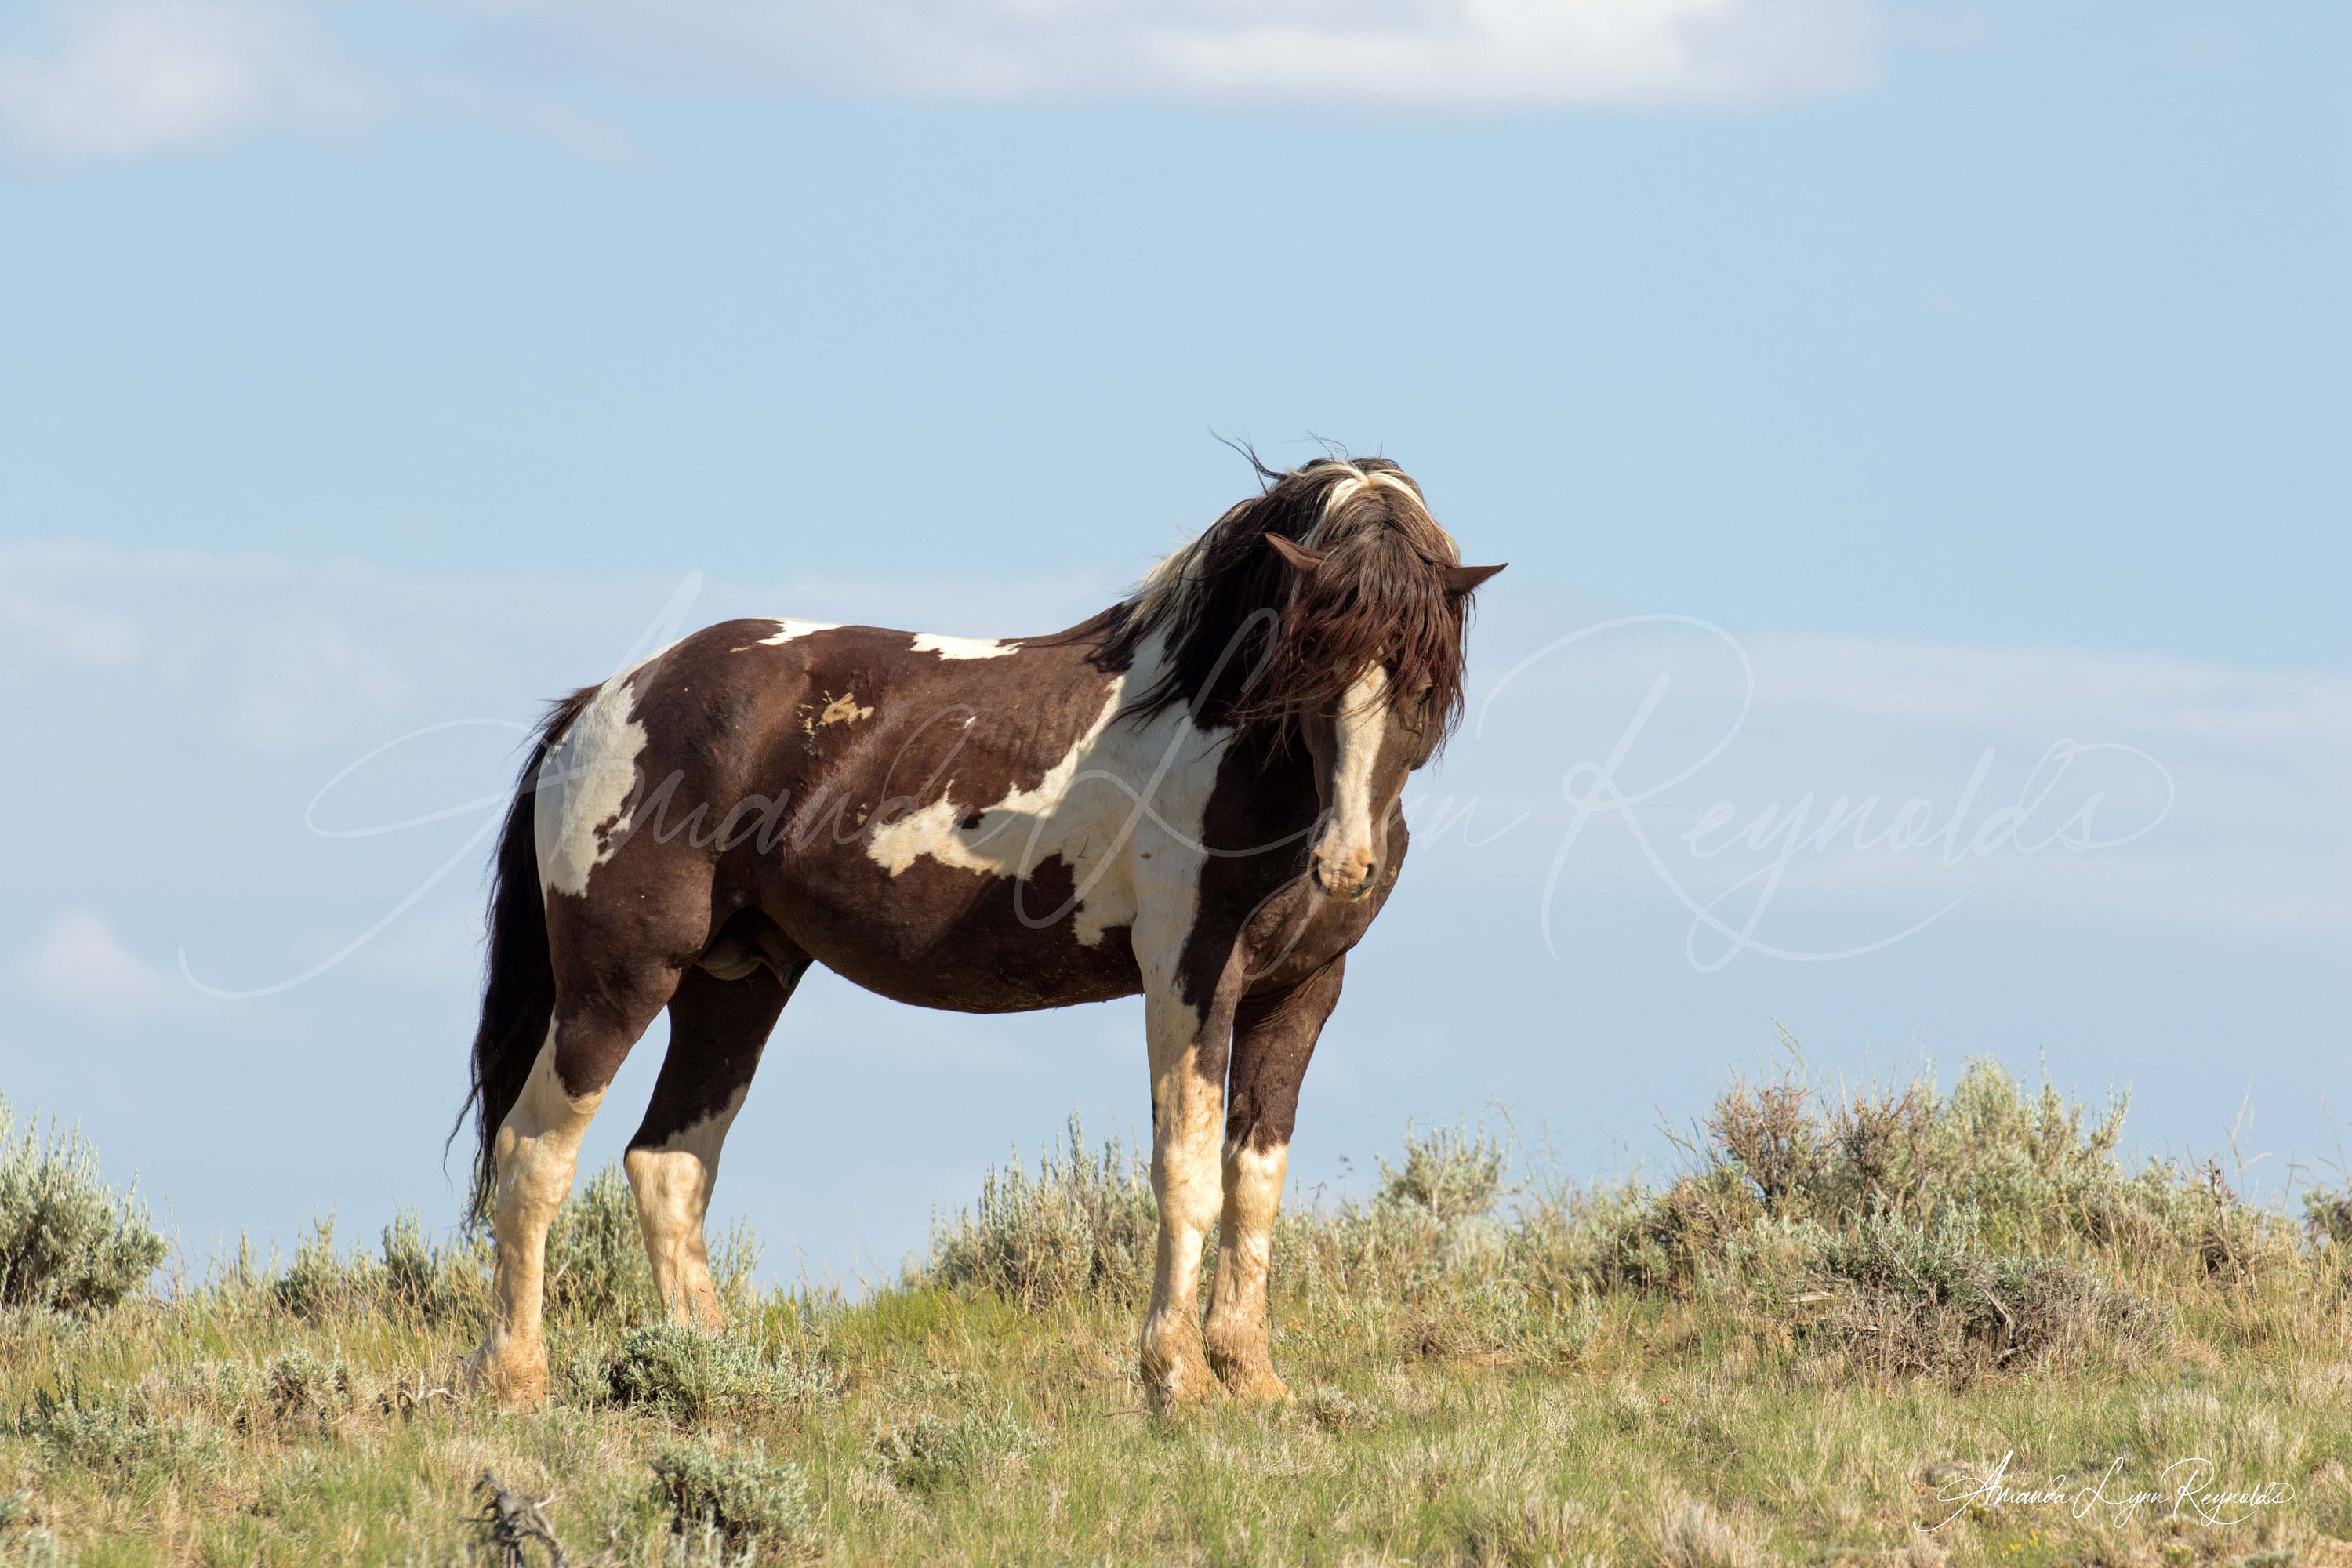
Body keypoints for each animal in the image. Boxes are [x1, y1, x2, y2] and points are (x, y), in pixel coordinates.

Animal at [456, 455, 1503, 1408]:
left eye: (1420, 680)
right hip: (619, 979)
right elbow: (1187, 1172)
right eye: (1313, 669)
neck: (1219, 737)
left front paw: (1253, 1377)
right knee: (534, 1154)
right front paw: (1178, 1379)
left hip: (737, 982)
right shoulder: (1189, 974)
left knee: (669, 1163)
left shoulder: (1302, 989)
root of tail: (602, 704)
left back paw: (713, 1372)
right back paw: (517, 1378)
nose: (1346, 862)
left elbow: (1256, 1179)